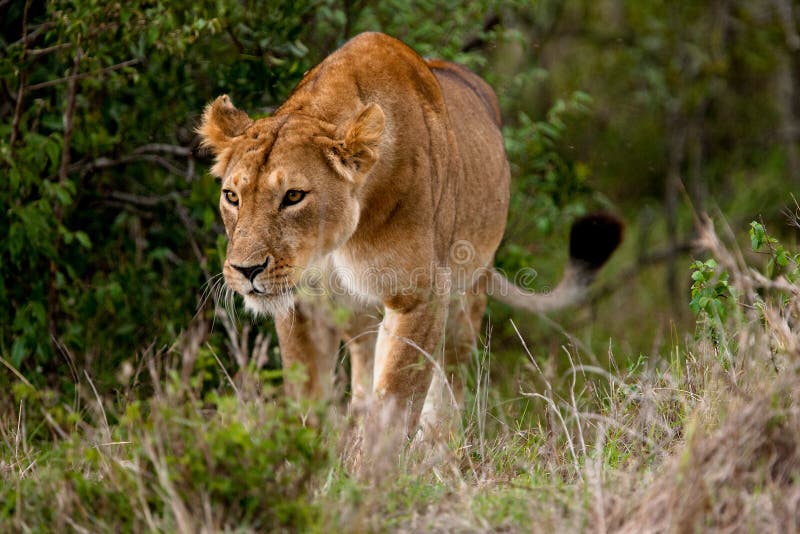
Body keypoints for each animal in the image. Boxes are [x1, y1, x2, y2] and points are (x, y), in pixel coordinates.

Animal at [198, 32, 622, 436]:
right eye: (232, 196)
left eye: (293, 196)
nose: (246, 270)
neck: (335, 242)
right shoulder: (303, 306)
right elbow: (308, 400)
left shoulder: (419, 296)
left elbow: (396, 402)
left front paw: (375, 463)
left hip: (466, 296)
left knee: (447, 388)